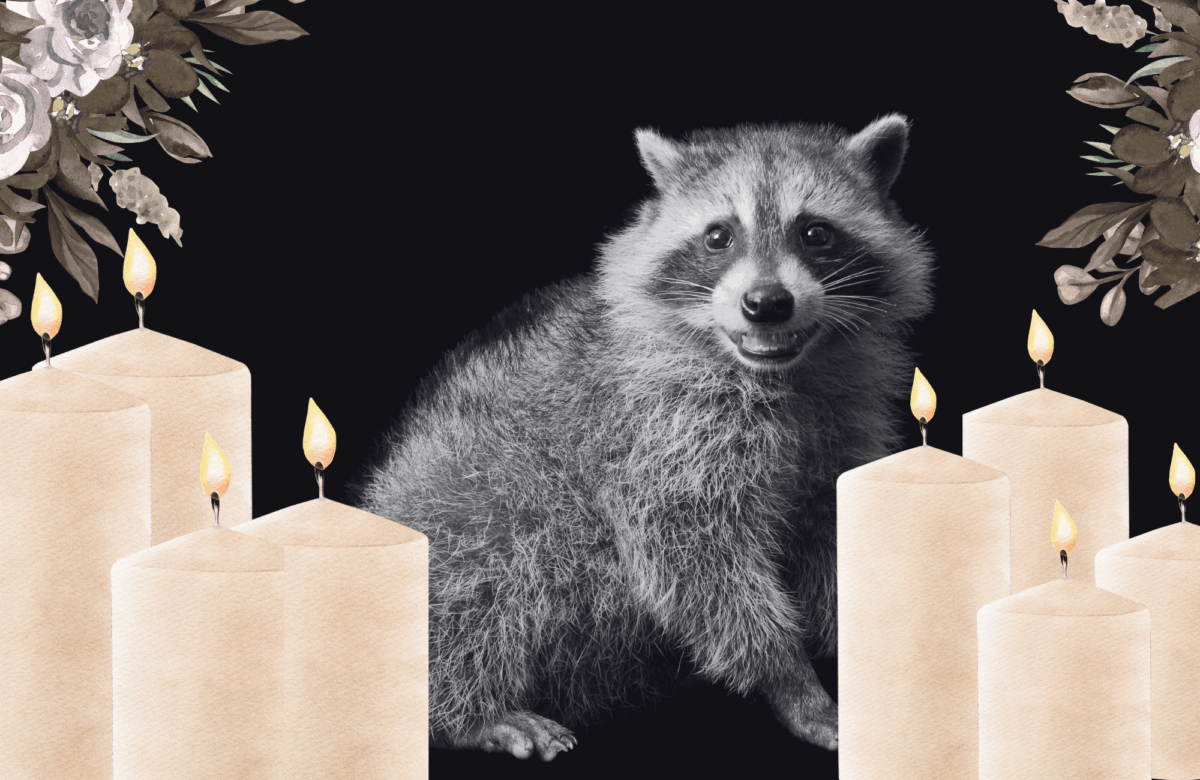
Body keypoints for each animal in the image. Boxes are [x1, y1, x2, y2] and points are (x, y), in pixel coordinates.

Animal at [359, 116, 934, 760]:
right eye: (718, 237)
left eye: (816, 233)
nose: (766, 304)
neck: (778, 373)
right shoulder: (654, 435)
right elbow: (694, 557)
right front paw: (789, 676)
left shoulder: (842, 421)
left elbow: (831, 530)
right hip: (457, 510)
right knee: (485, 583)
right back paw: (473, 711)